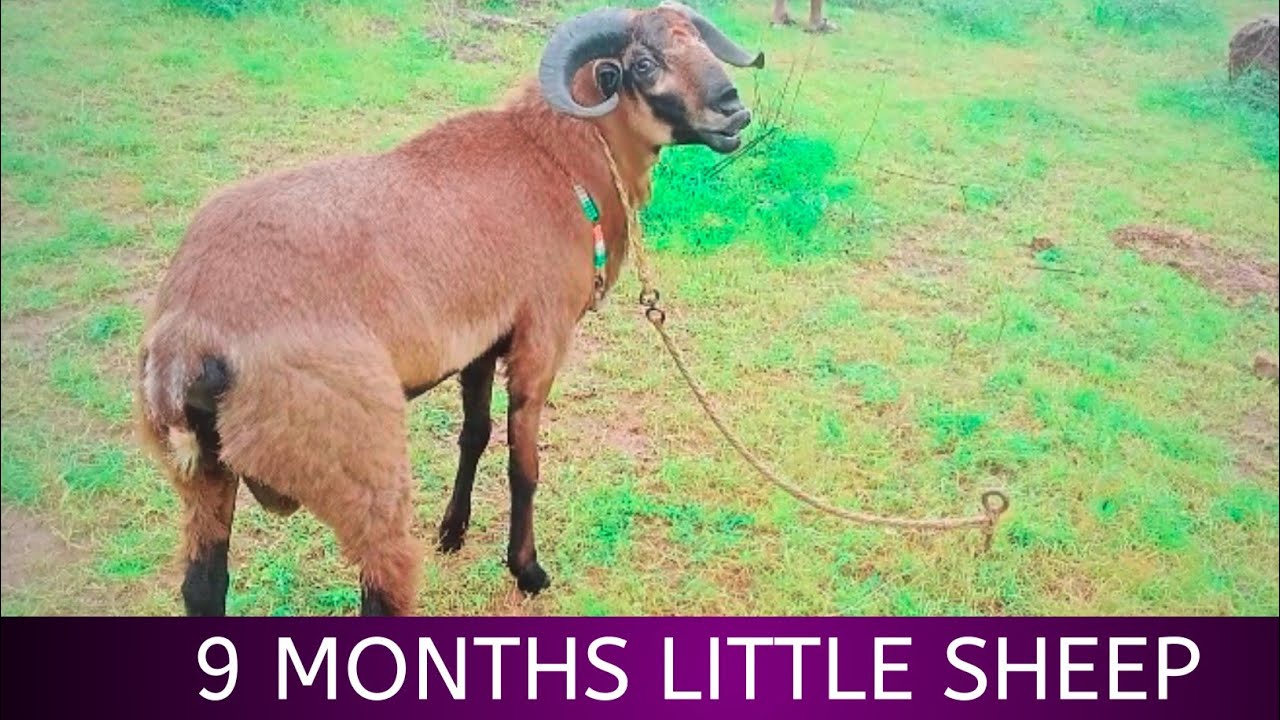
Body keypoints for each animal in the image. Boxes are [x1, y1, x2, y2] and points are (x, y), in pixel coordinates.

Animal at [135, 2, 763, 616]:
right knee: (382, 592)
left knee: (204, 585)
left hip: (204, 474)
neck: (560, 162)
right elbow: (523, 465)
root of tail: (189, 334)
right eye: (643, 63)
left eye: (698, 42)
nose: (734, 109)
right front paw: (527, 570)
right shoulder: (541, 339)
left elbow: (474, 434)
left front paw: (453, 531)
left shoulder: (481, 342)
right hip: (360, 461)